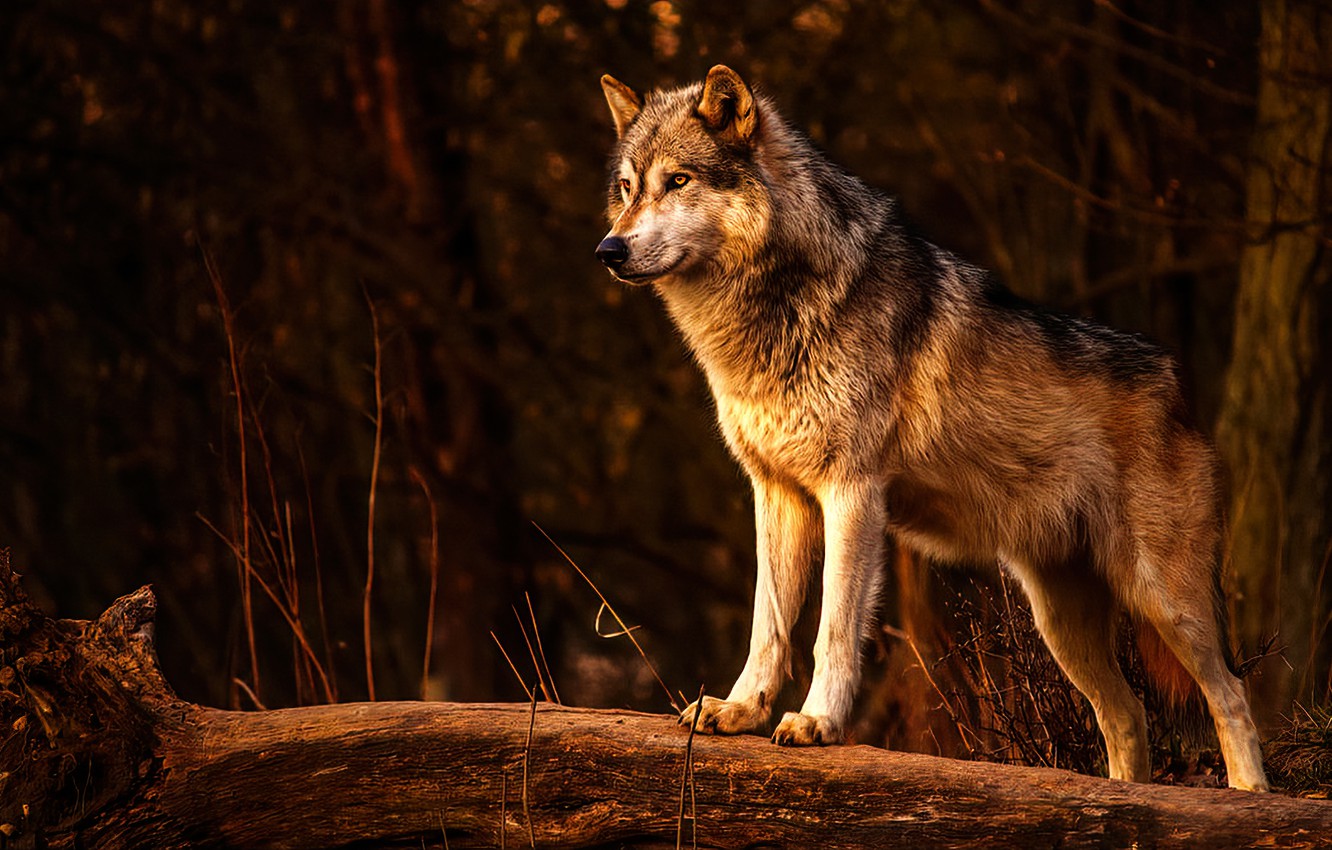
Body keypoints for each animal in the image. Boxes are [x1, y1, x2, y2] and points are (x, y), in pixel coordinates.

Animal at [594, 65, 1268, 791]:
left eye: (679, 180)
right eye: (627, 188)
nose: (608, 249)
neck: (768, 314)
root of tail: (1178, 384)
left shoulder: (852, 492)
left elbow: (832, 626)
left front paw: (818, 721)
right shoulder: (777, 494)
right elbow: (767, 624)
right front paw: (740, 709)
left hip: (1162, 599)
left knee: (1231, 694)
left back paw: (1250, 795)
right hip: (1061, 622)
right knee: (1127, 715)